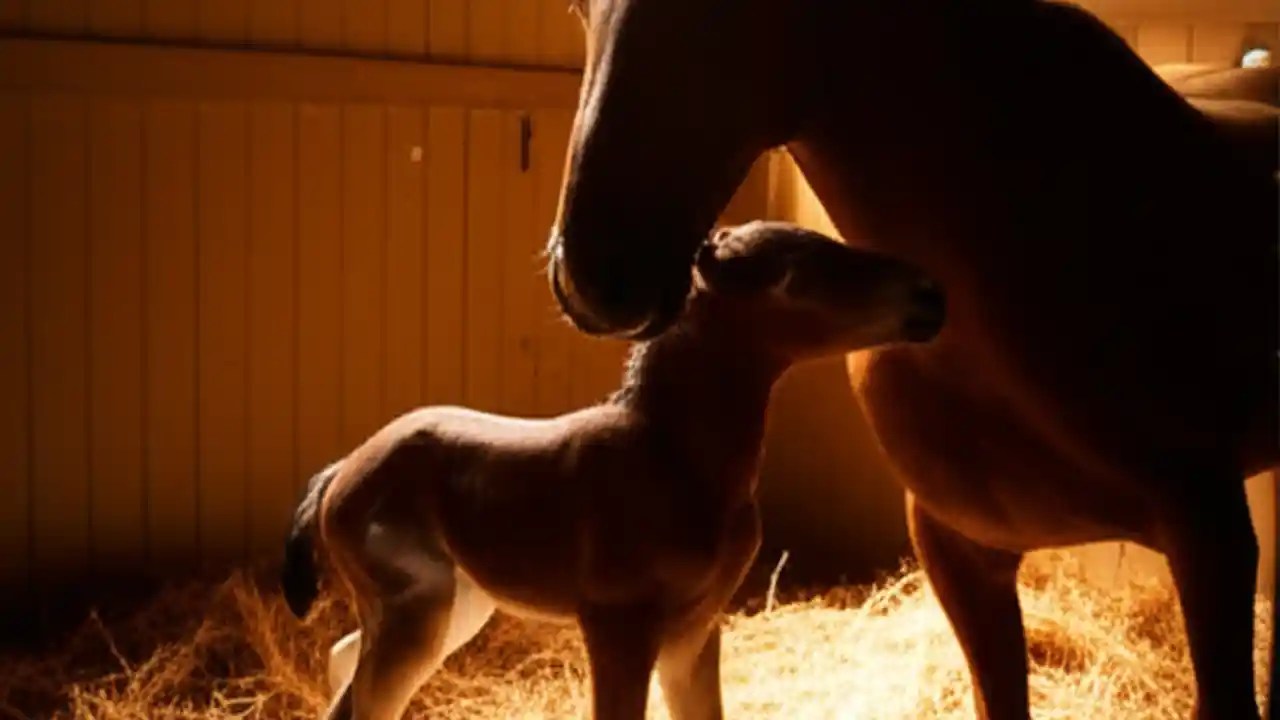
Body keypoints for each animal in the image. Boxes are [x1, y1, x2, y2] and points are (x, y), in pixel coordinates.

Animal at [280, 220, 947, 720]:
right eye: (797, 274)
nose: (930, 295)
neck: (672, 459)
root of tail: (340, 473)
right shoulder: (617, 628)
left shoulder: (694, 631)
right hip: (418, 607)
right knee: (360, 702)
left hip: (456, 605)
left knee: (345, 660)